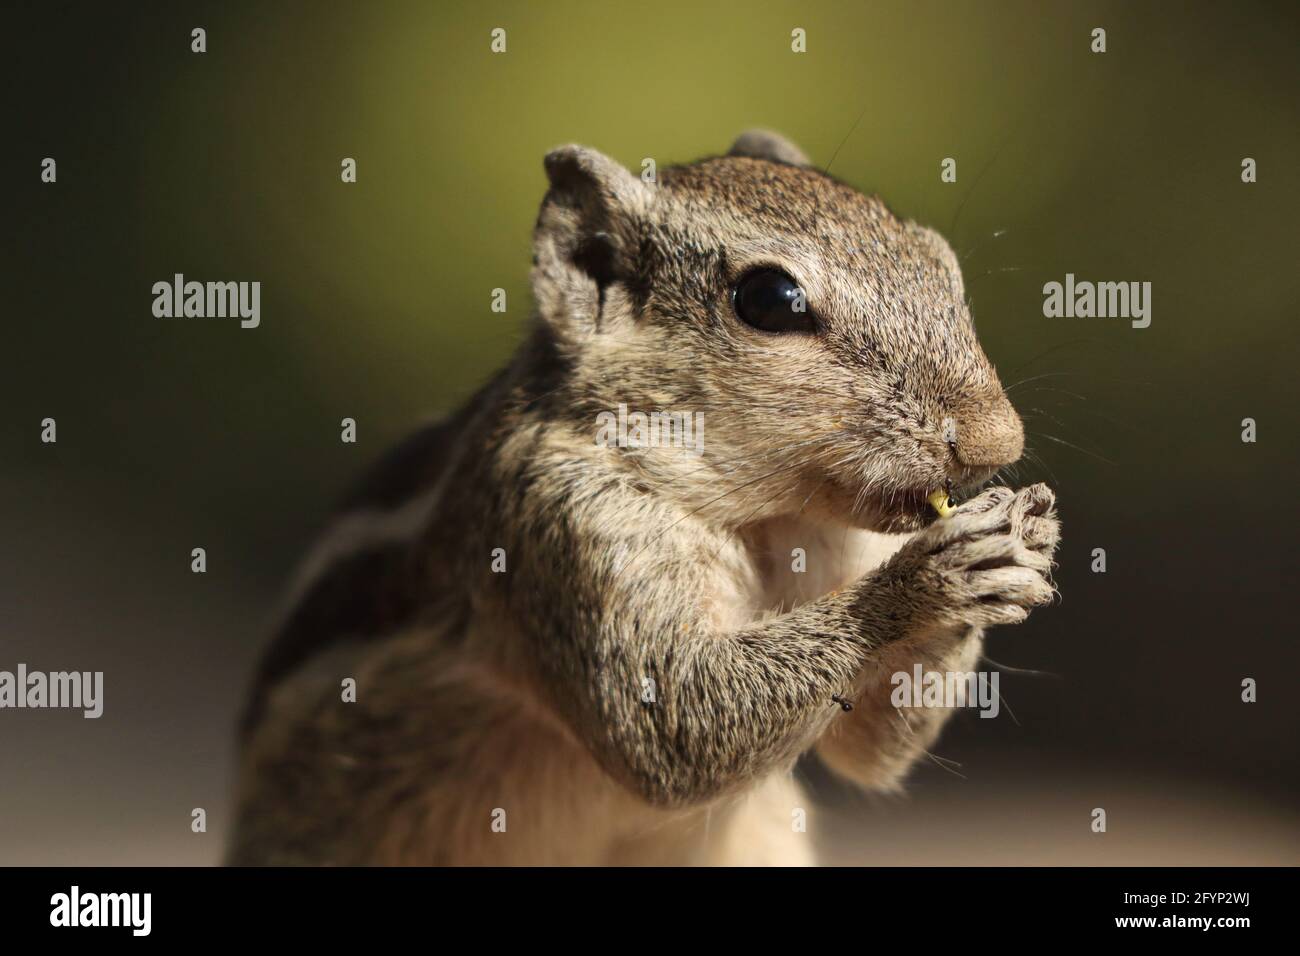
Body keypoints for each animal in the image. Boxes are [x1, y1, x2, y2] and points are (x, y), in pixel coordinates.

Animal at [226, 130, 1060, 866]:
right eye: (771, 298)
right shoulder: (560, 526)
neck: (767, 521)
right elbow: (674, 724)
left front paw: (1021, 540)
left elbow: (870, 748)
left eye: (943, 265)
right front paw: (929, 576)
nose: (995, 440)